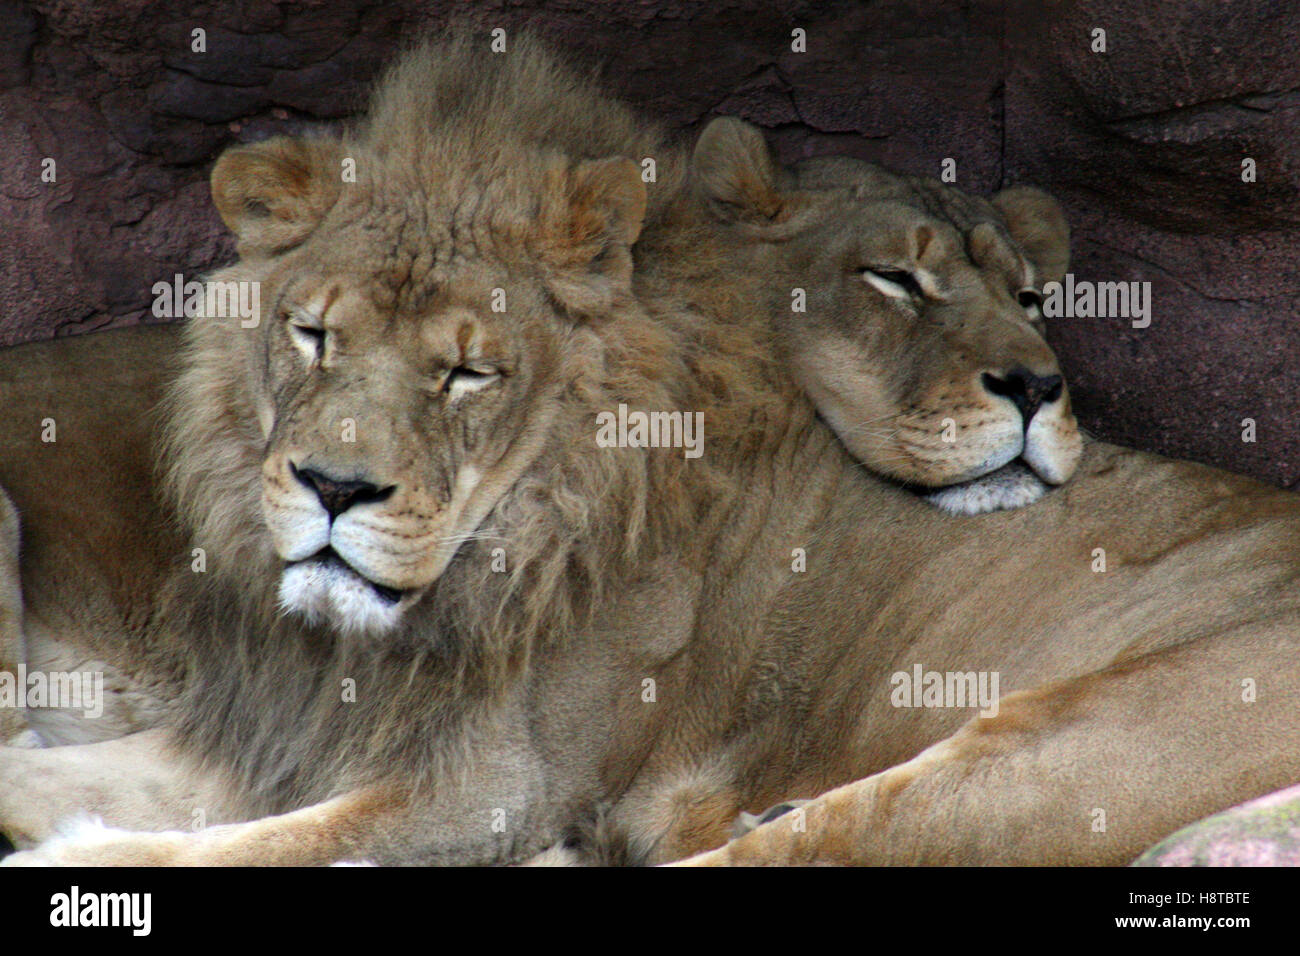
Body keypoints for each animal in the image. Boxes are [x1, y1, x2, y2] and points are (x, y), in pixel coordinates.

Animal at [3, 32, 1300, 867]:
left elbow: (255, 847)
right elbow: (65, 770)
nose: (332, 485)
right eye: (313, 335)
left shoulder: (491, 786)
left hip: (1066, 746)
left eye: (469, 372)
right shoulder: (289, 726)